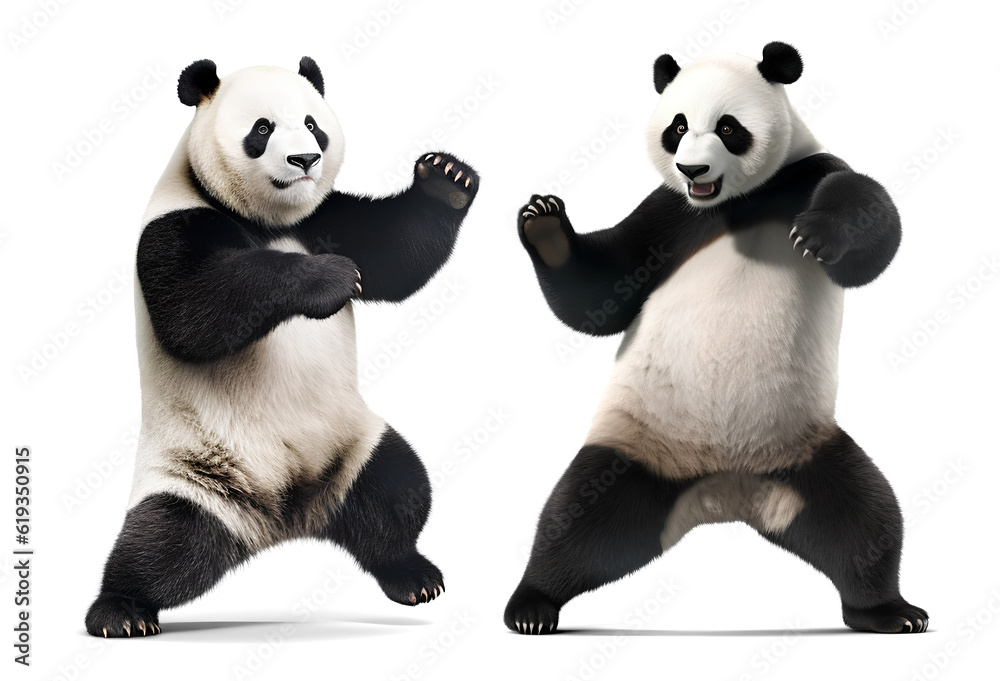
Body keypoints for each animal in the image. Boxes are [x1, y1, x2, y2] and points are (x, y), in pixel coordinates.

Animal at [84, 57, 478, 637]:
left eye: (313, 124)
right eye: (263, 128)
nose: (305, 159)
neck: (266, 222)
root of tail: (285, 517)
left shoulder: (323, 219)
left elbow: (395, 253)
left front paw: (446, 180)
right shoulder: (173, 226)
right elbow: (195, 308)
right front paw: (329, 280)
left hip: (353, 447)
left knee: (397, 489)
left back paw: (411, 574)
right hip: (193, 476)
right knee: (163, 543)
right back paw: (121, 611)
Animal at [505, 42, 927, 635]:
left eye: (729, 128)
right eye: (677, 127)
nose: (692, 168)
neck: (733, 202)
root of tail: (724, 491)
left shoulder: (808, 173)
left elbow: (869, 230)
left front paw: (820, 232)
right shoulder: (670, 213)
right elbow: (605, 293)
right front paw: (544, 224)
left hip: (802, 449)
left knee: (864, 518)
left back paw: (889, 610)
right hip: (639, 444)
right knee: (578, 520)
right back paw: (532, 605)